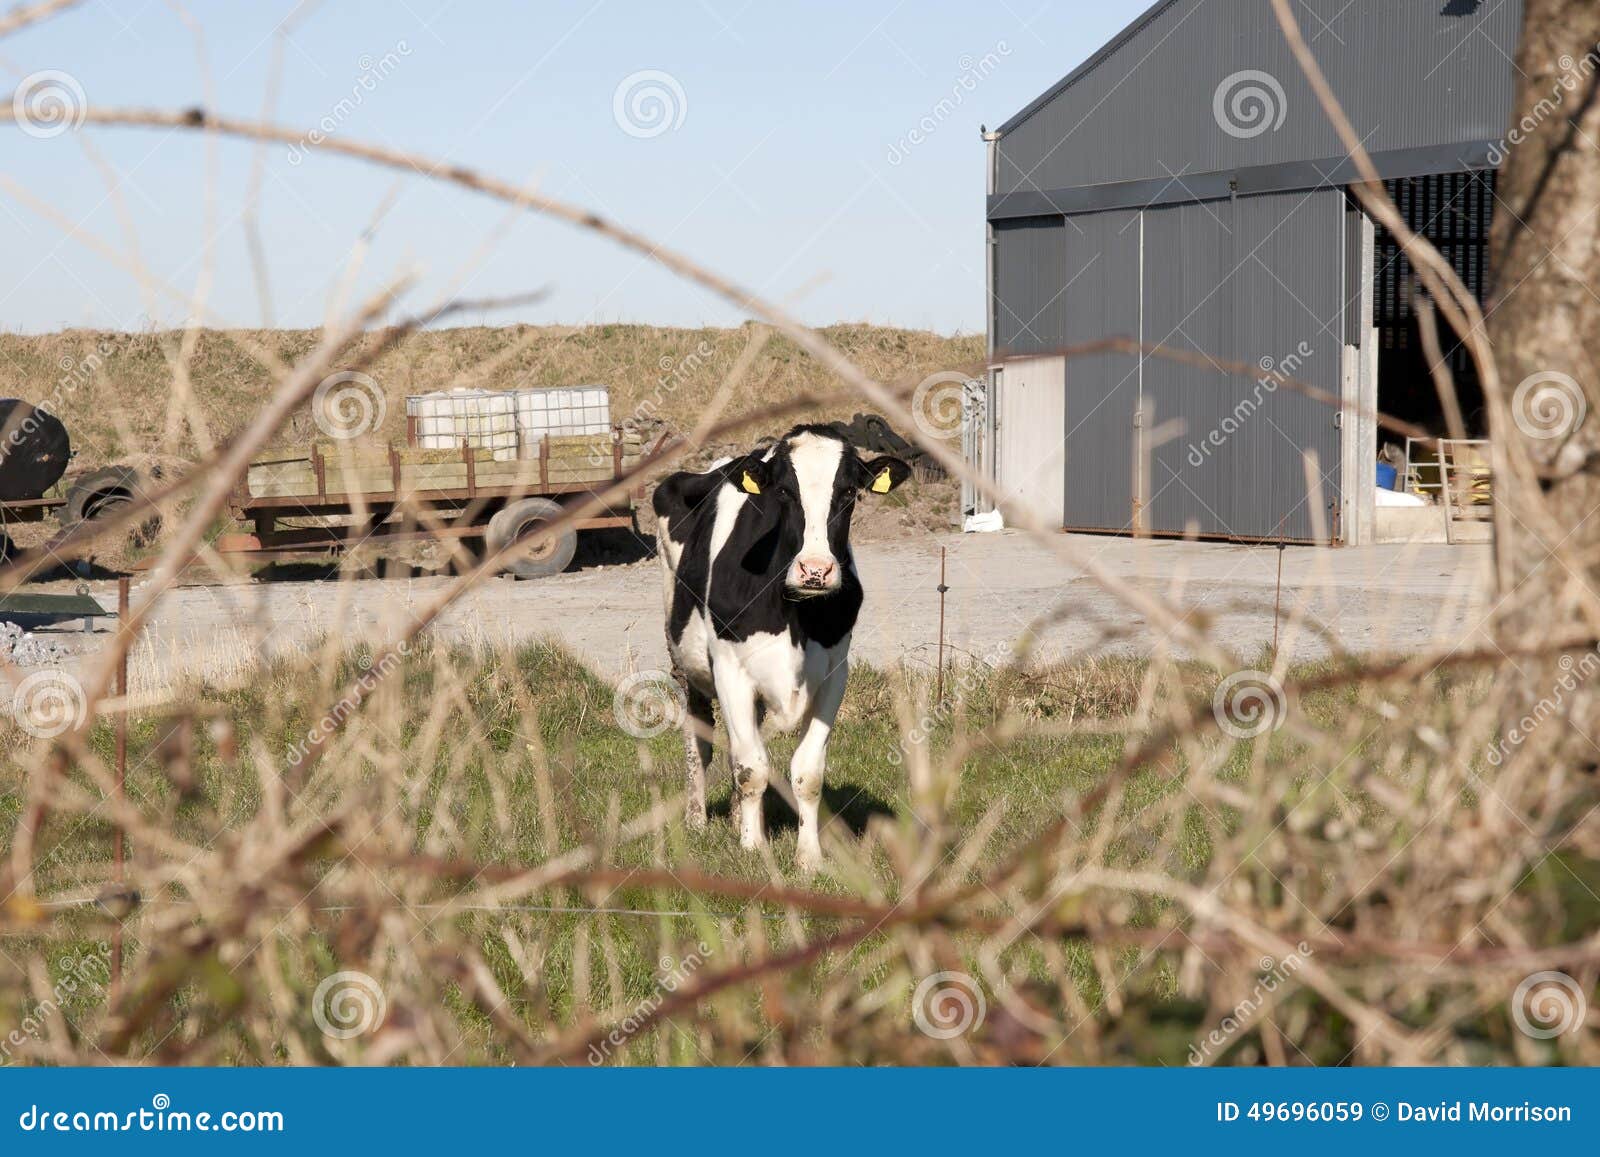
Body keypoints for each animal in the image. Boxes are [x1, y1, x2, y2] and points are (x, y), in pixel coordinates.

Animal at [652, 424, 911, 871]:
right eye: (785, 492)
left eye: (848, 492)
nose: (815, 570)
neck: (794, 615)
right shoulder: (730, 670)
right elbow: (750, 767)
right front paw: (753, 849)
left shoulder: (834, 674)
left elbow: (807, 772)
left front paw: (808, 857)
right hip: (684, 663)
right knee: (699, 745)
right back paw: (697, 820)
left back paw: (737, 817)